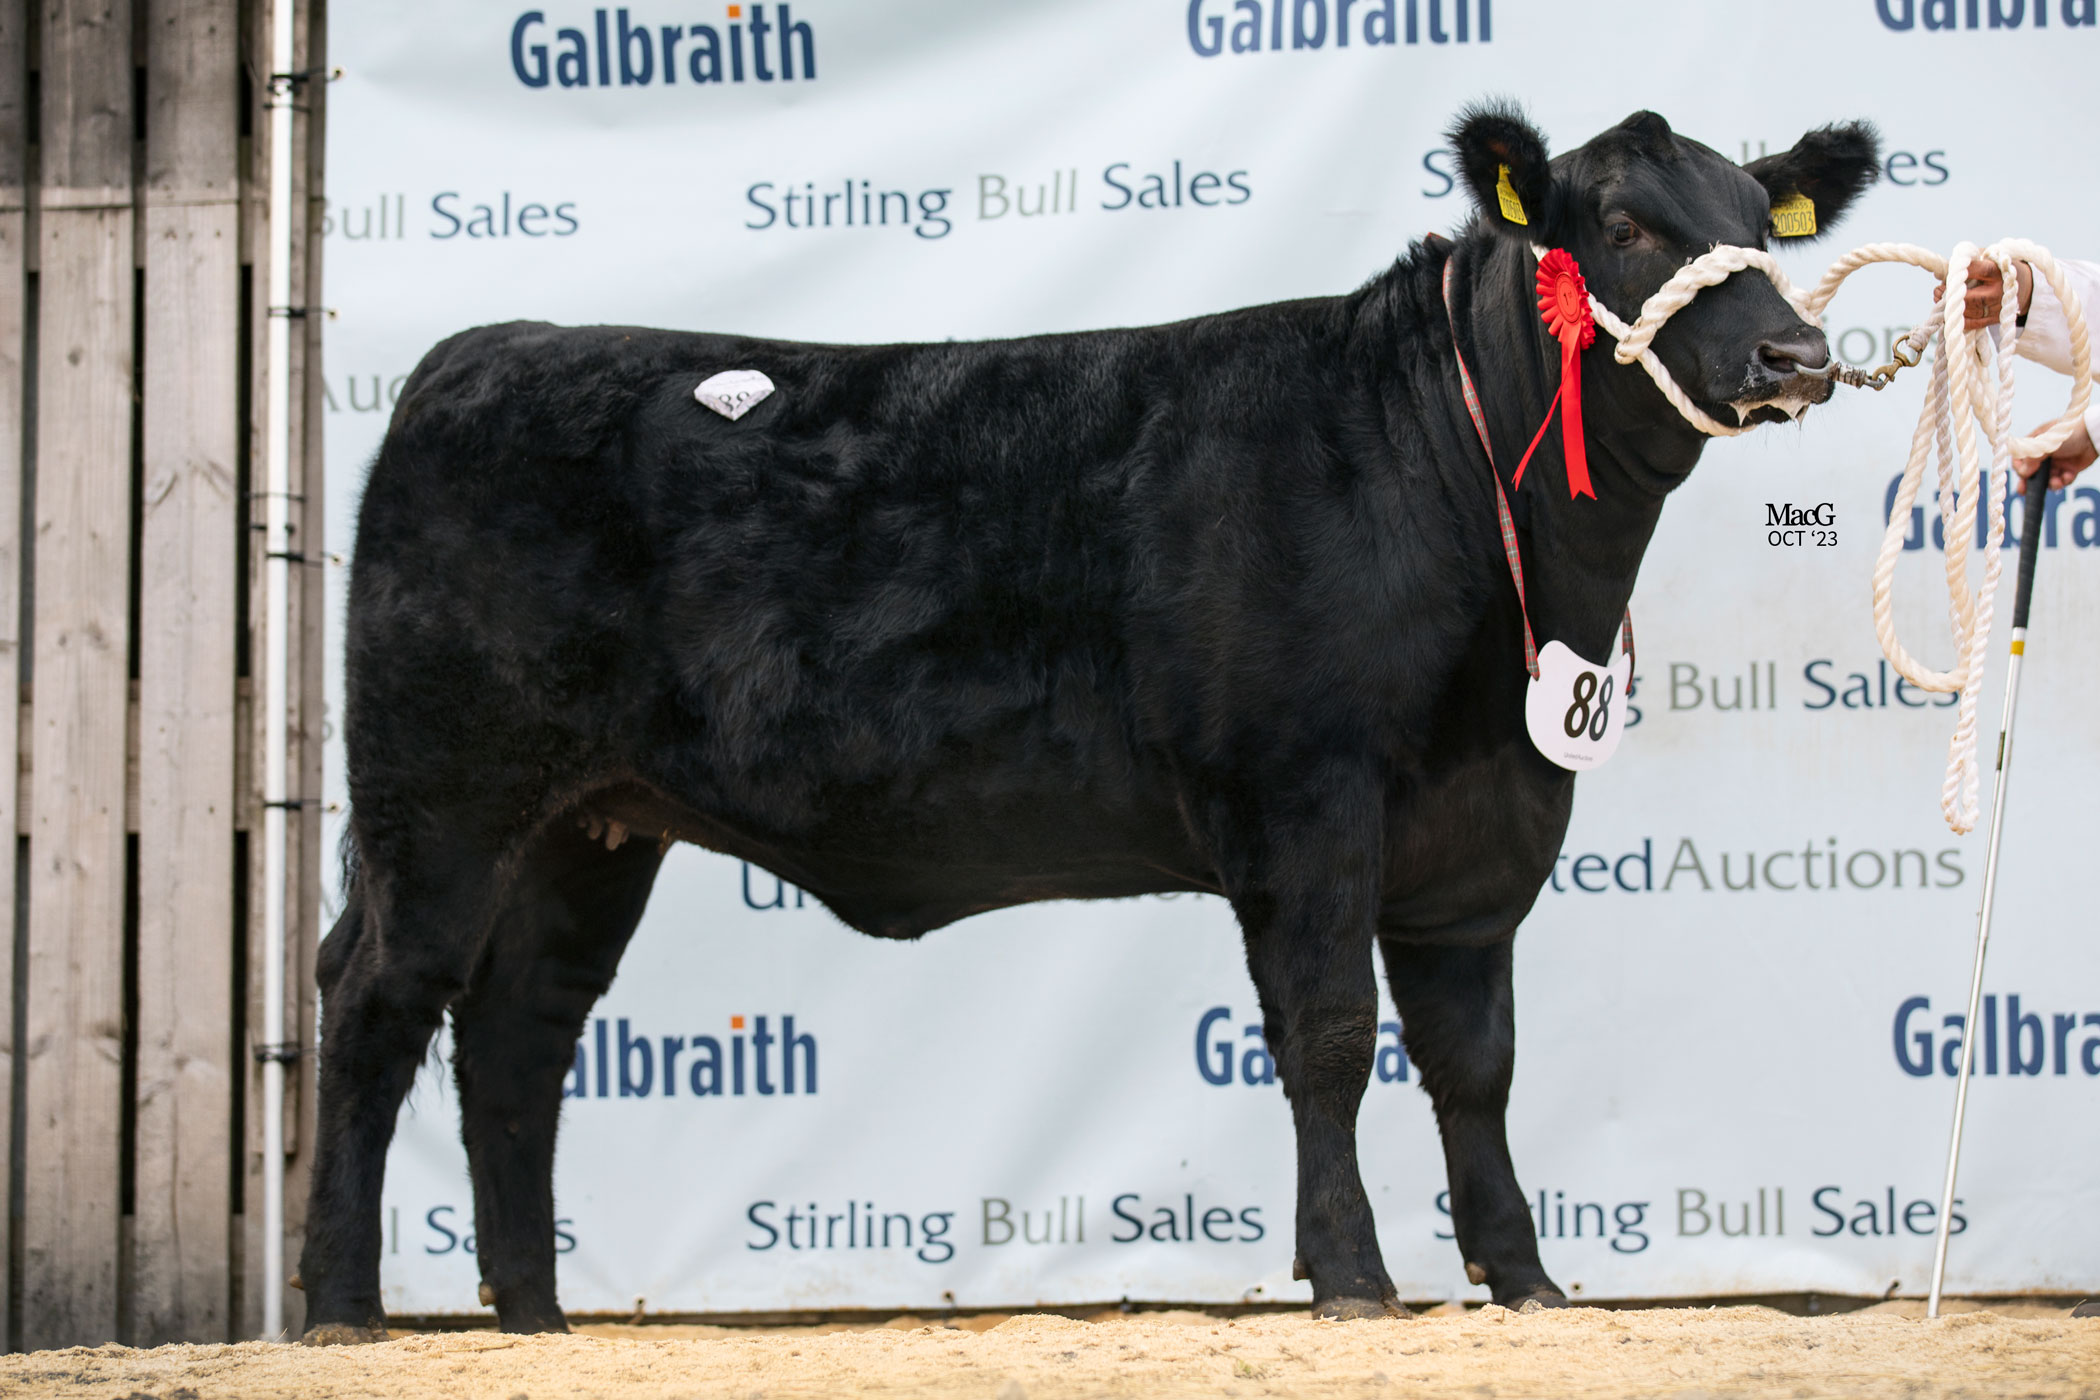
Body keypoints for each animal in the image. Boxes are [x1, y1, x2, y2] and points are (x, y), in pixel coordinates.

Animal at [297, 103, 1879, 1342]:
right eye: (1619, 221)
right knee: (376, 997)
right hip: (441, 790)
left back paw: (533, 1315)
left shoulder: (1483, 830)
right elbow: (1327, 1032)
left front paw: (1527, 1280)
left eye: (1764, 222)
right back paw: (342, 1306)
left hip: (589, 825)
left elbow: (1474, 1060)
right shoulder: (1304, 796)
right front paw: (1352, 1275)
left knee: (517, 1034)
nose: (1799, 356)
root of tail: (485, 348)